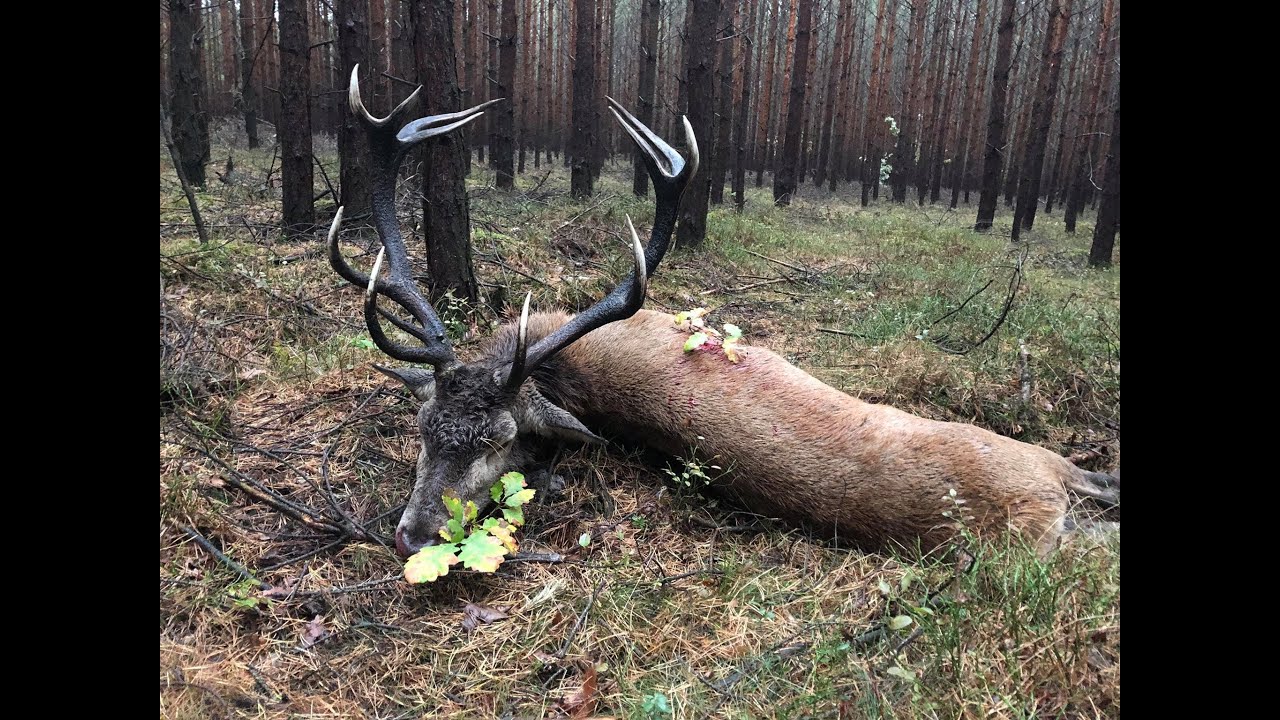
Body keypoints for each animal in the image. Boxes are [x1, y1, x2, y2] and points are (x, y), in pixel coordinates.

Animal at [328, 67, 1119, 562]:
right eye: (423, 427)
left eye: (498, 439)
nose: (410, 536)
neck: (556, 357)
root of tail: (1052, 486)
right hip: (1045, 494)